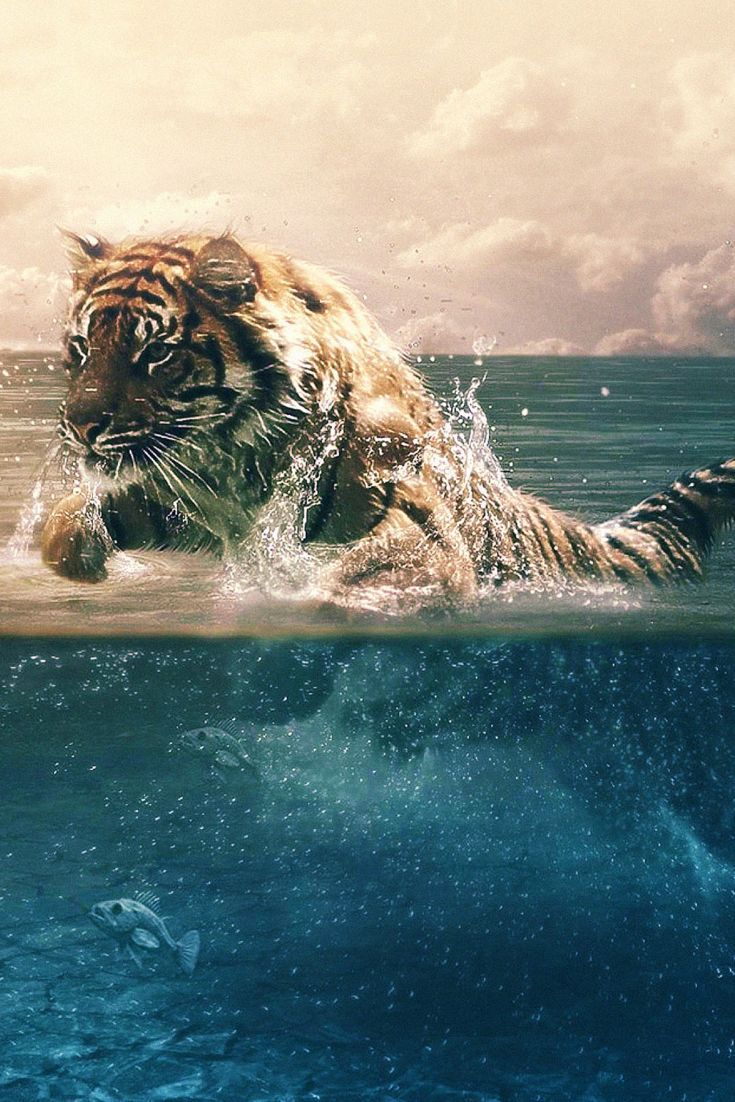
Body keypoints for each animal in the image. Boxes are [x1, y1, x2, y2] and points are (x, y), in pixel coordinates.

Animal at [39, 230, 735, 611]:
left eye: (156, 353)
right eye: (80, 348)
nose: (81, 426)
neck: (233, 461)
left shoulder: (416, 532)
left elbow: (354, 585)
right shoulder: (185, 503)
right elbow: (68, 520)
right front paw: (82, 562)